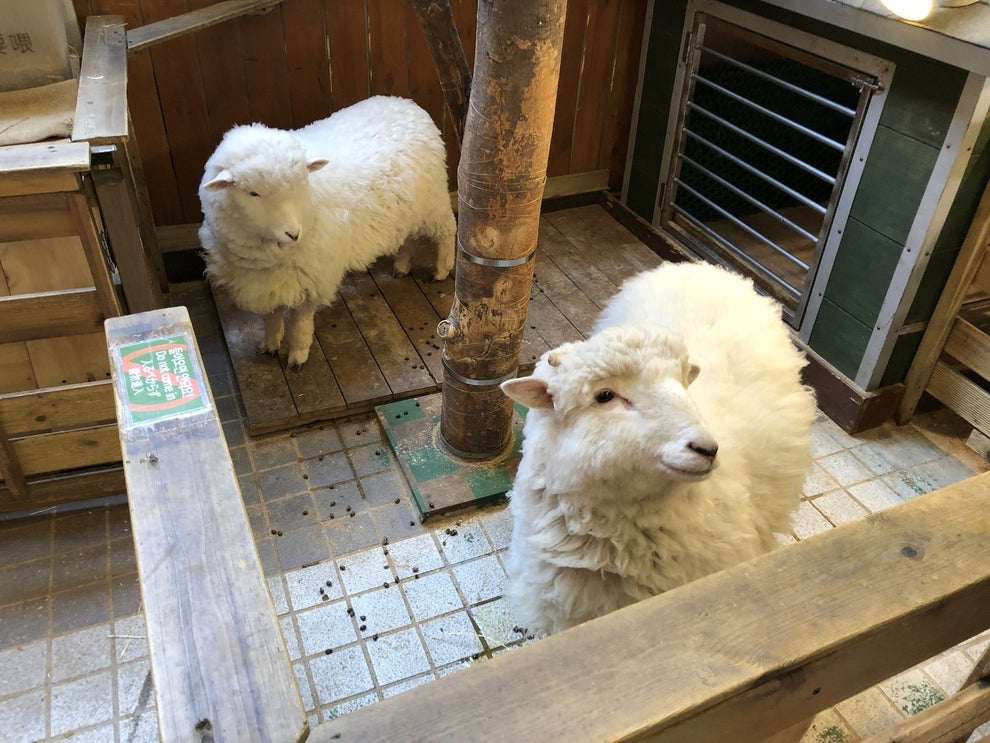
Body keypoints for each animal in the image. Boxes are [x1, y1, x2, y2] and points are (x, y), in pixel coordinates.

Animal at [198, 95, 456, 368]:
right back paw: (402, 266)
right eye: (253, 193)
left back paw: (441, 269)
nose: (293, 234)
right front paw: (270, 343)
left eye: (301, 182)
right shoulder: (267, 282)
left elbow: (301, 321)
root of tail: (405, 103)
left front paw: (298, 354)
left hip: (433, 200)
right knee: (407, 238)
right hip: (407, 209)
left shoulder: (312, 276)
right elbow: (272, 316)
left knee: (447, 230)